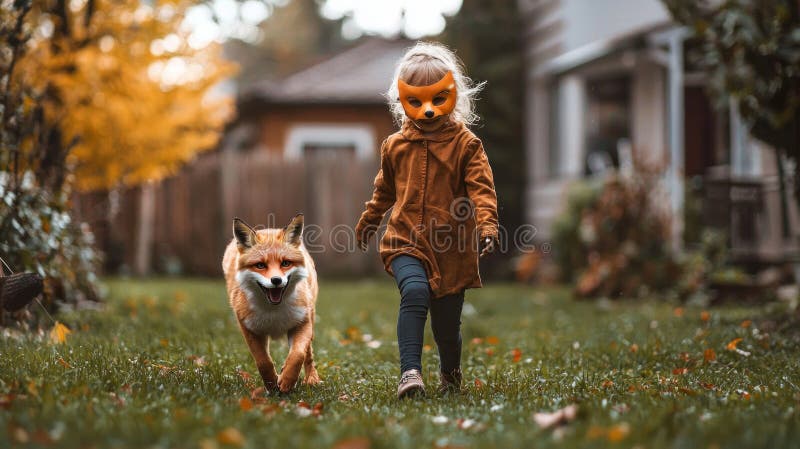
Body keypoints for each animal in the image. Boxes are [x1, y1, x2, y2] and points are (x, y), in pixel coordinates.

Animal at [222, 214, 321, 392]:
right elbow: (263, 361)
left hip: (311, 318)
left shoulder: (302, 322)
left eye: (285, 263)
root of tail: (269, 228)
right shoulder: (249, 328)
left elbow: (298, 355)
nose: (276, 280)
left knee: (309, 355)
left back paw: (312, 379)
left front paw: (287, 381)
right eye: (260, 265)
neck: (274, 312)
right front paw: (271, 384)